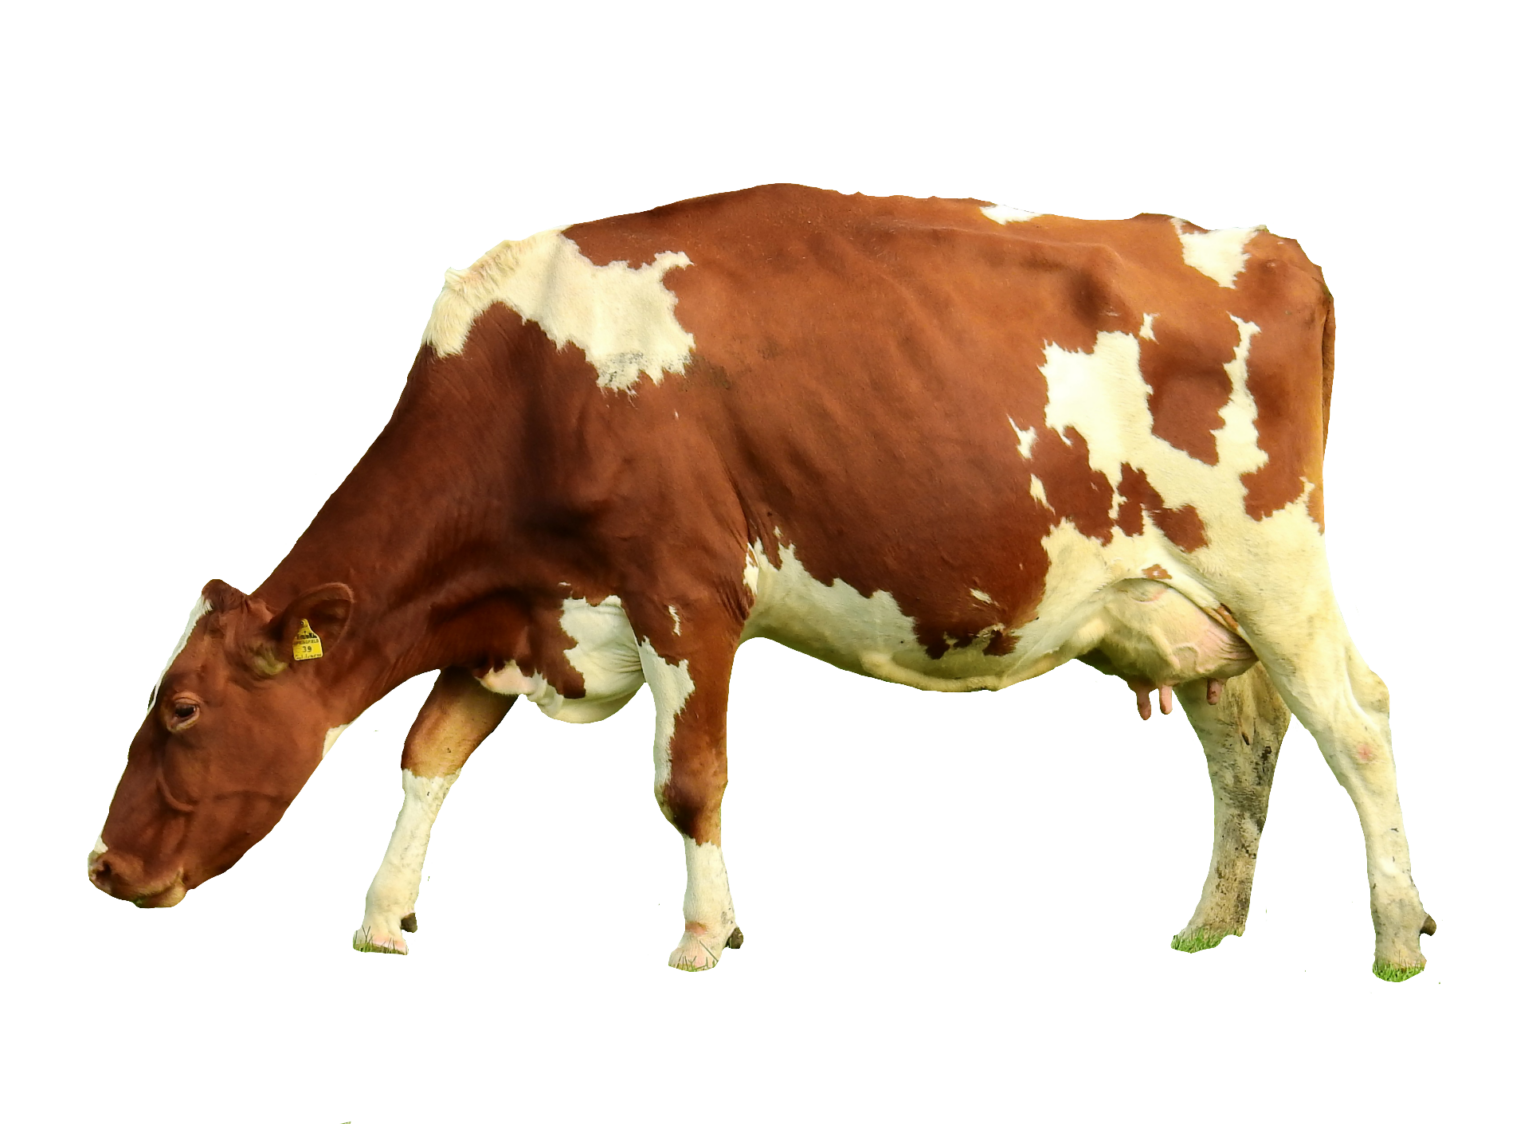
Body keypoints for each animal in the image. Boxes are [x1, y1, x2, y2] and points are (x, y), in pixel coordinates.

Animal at [87, 183, 1434, 978]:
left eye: (184, 708)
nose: (104, 866)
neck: (530, 376)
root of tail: (1259, 244)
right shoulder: (527, 615)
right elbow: (428, 750)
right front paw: (381, 915)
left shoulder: (685, 588)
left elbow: (686, 779)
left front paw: (701, 933)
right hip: (1178, 611)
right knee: (1245, 738)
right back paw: (1210, 920)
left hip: (1270, 564)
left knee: (1355, 721)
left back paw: (1397, 934)